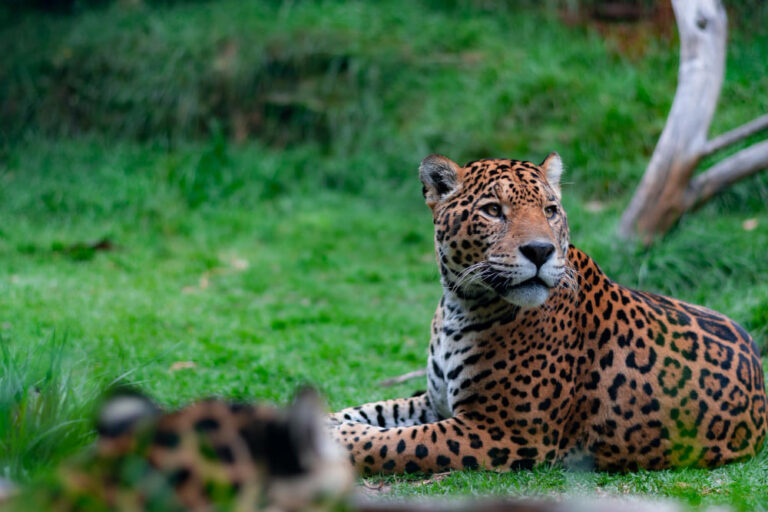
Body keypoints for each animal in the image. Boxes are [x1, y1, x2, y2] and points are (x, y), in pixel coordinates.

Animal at [329, 153, 767, 474]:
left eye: (550, 210)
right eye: (492, 210)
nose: (541, 251)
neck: (460, 303)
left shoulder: (498, 432)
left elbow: (399, 444)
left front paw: (336, 440)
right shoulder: (436, 402)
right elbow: (379, 410)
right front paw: (330, 420)